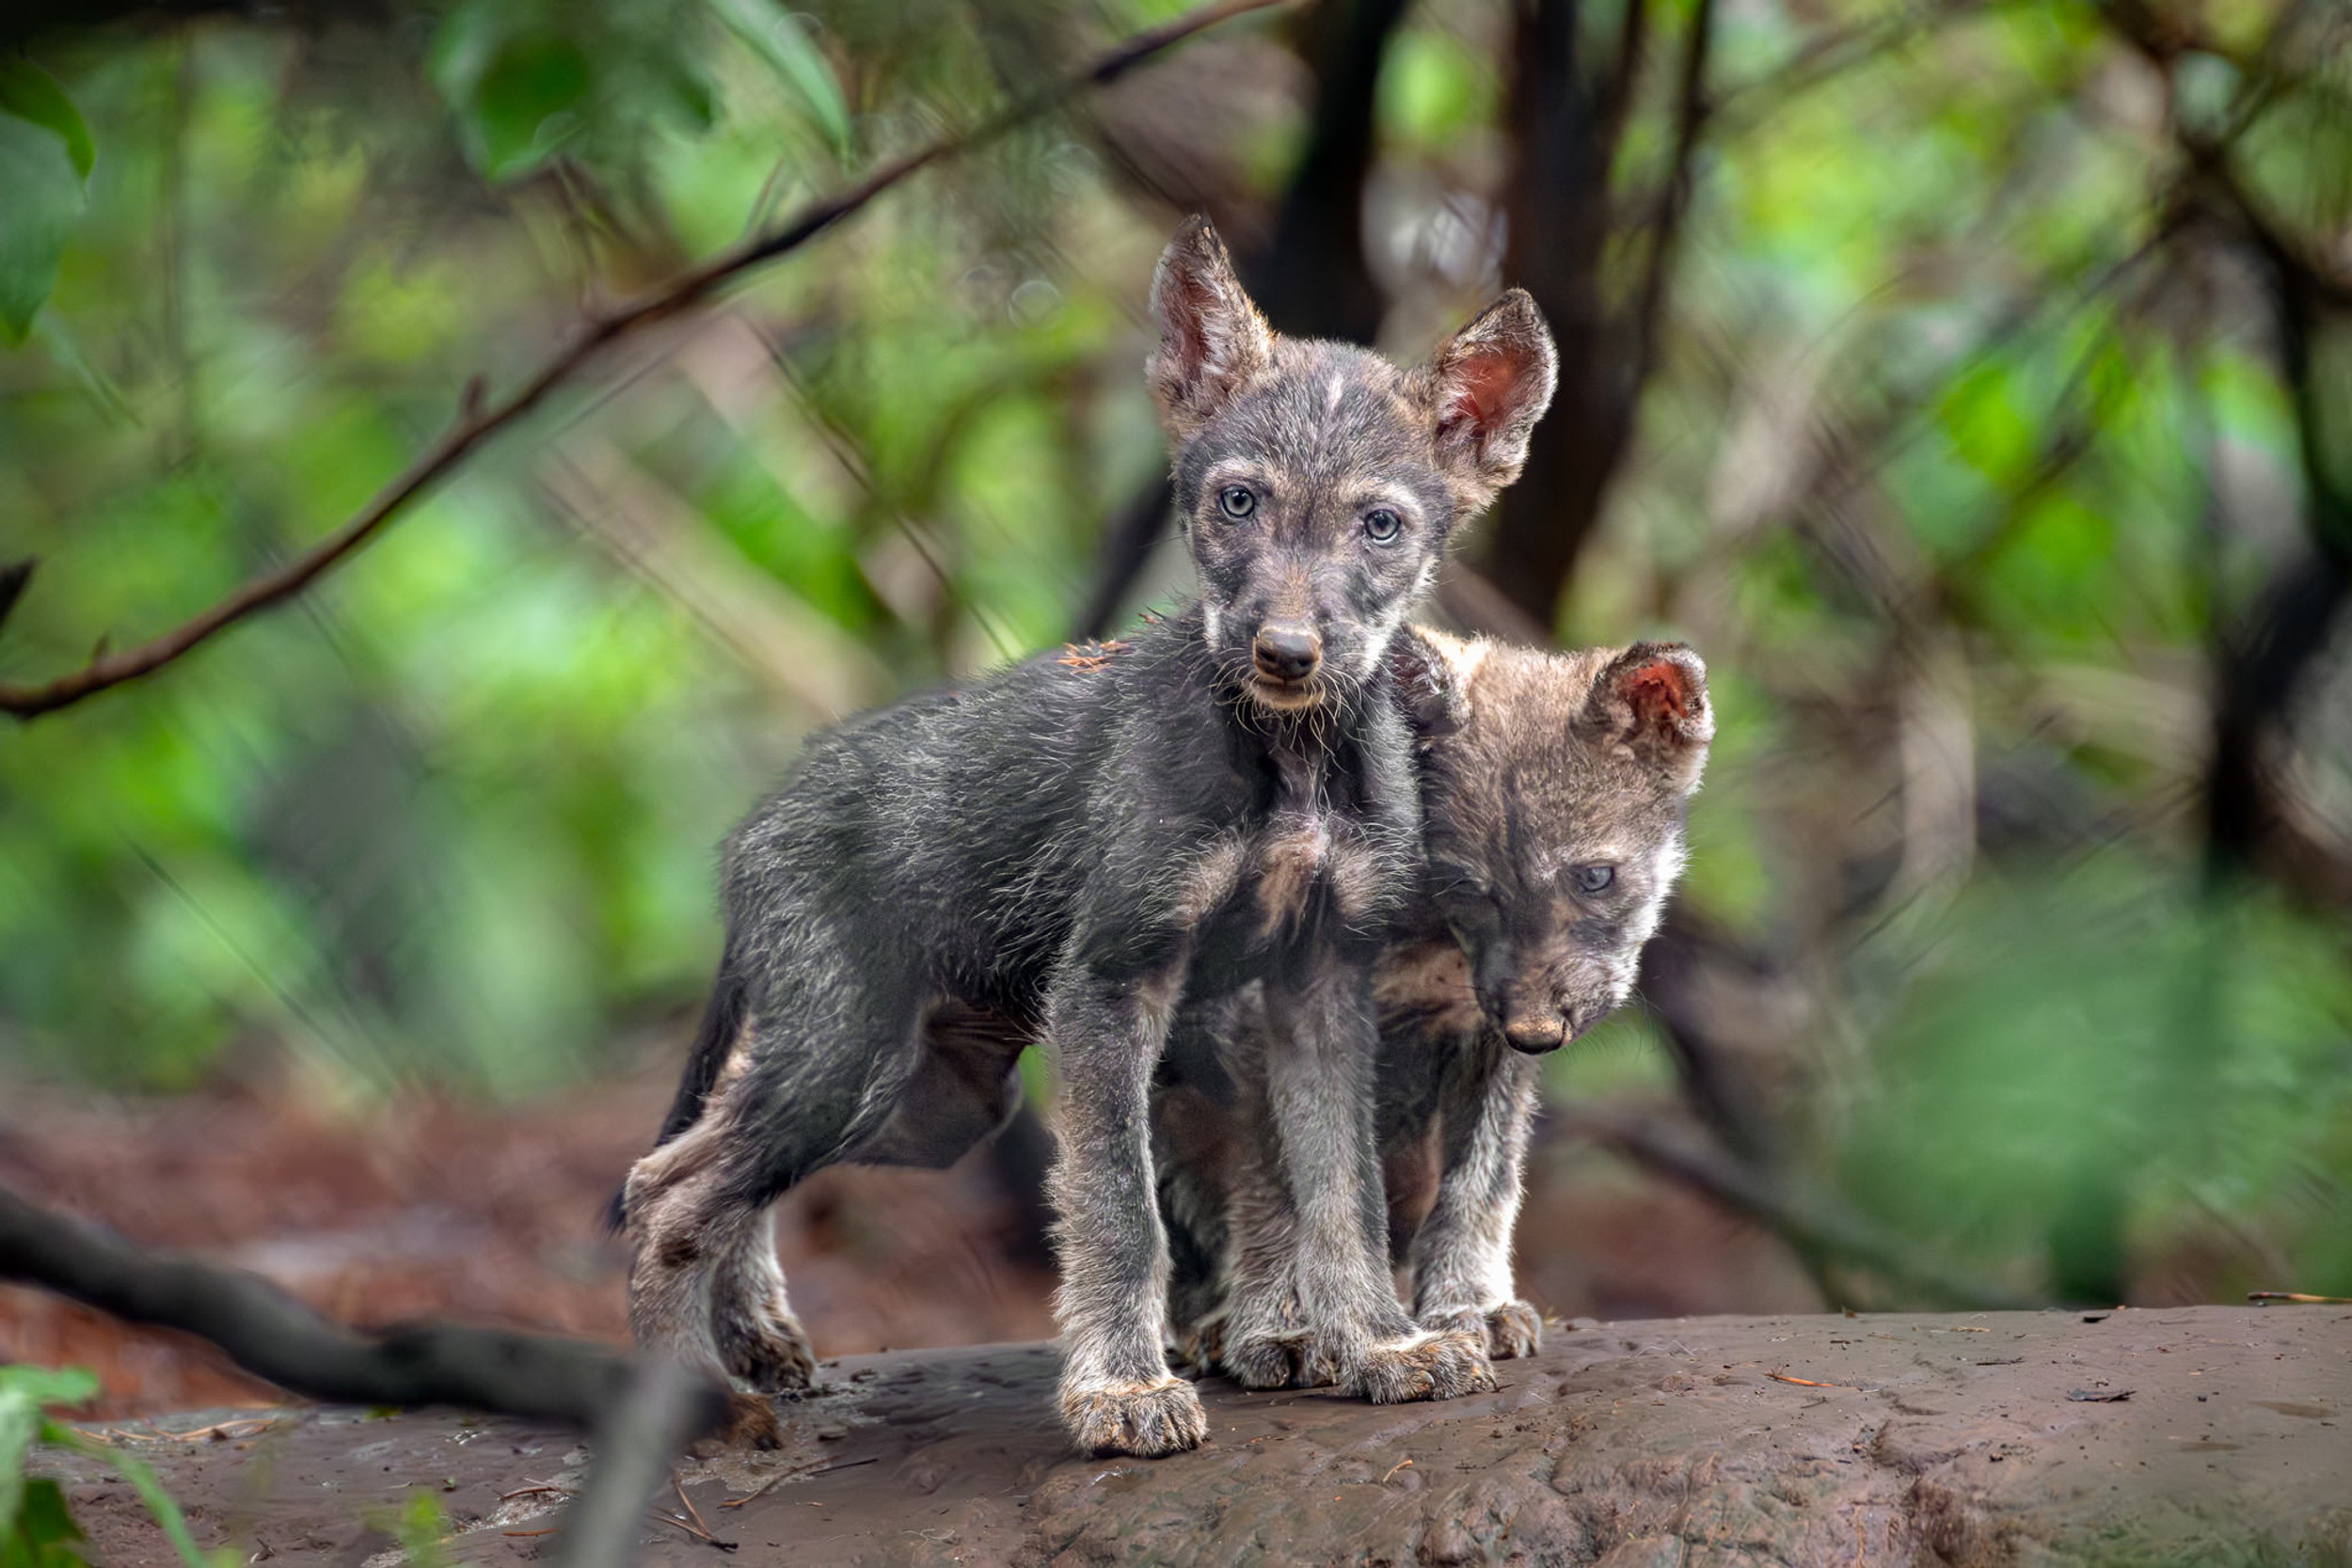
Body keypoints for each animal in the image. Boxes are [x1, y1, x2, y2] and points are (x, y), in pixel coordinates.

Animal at [612, 218, 1557, 1456]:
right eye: (1237, 502)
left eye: (1380, 523)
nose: (1285, 652)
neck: (1288, 760)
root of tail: (756, 822)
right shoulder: (1113, 980)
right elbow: (1120, 1208)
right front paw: (1121, 1387)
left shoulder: (1319, 983)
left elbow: (1340, 1193)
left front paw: (1376, 1343)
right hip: (847, 1058)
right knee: (664, 1188)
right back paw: (697, 1396)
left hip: (924, 1099)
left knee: (709, 1166)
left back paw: (757, 1336)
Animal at [1154, 629, 1714, 1381]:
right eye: (1469, 888)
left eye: (1595, 878)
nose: (1539, 1031)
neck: (1427, 932)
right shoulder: (1265, 1023)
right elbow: (1282, 1190)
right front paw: (1282, 1328)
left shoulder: (1487, 1038)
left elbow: (1480, 1184)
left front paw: (1468, 1307)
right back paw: (1214, 1327)